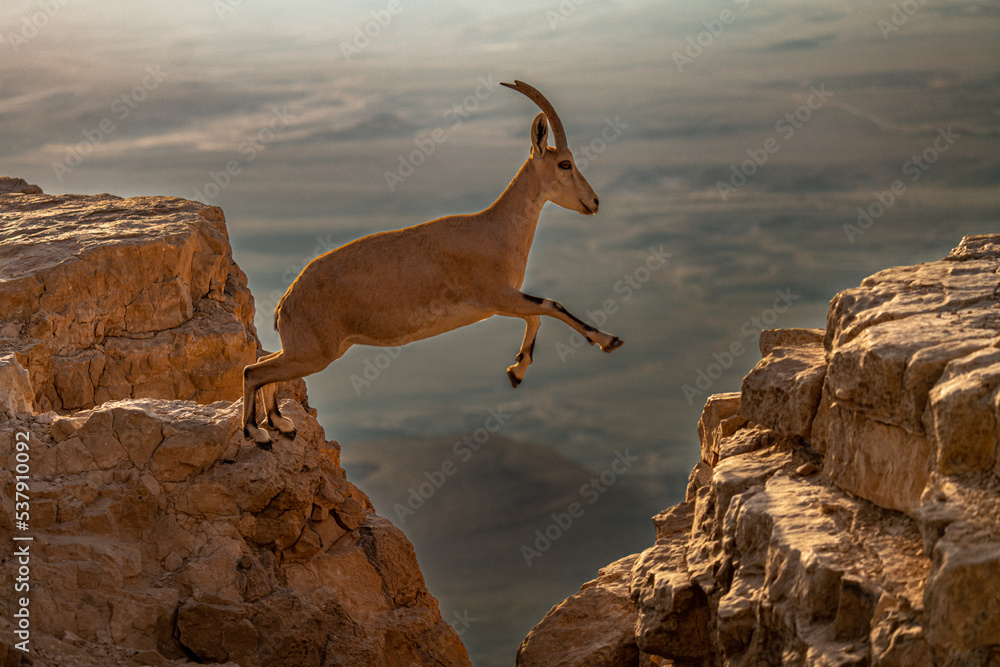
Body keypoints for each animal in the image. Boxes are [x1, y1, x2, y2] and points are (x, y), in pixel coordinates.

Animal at [243, 80, 623, 447]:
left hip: (307, 351)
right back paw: (257, 433)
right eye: (565, 164)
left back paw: (281, 423)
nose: (594, 201)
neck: (496, 229)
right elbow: (551, 305)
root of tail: (285, 303)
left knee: (261, 362)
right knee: (252, 371)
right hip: (315, 352)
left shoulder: (499, 303)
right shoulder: (496, 296)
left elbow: (536, 316)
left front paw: (516, 372)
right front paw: (608, 340)